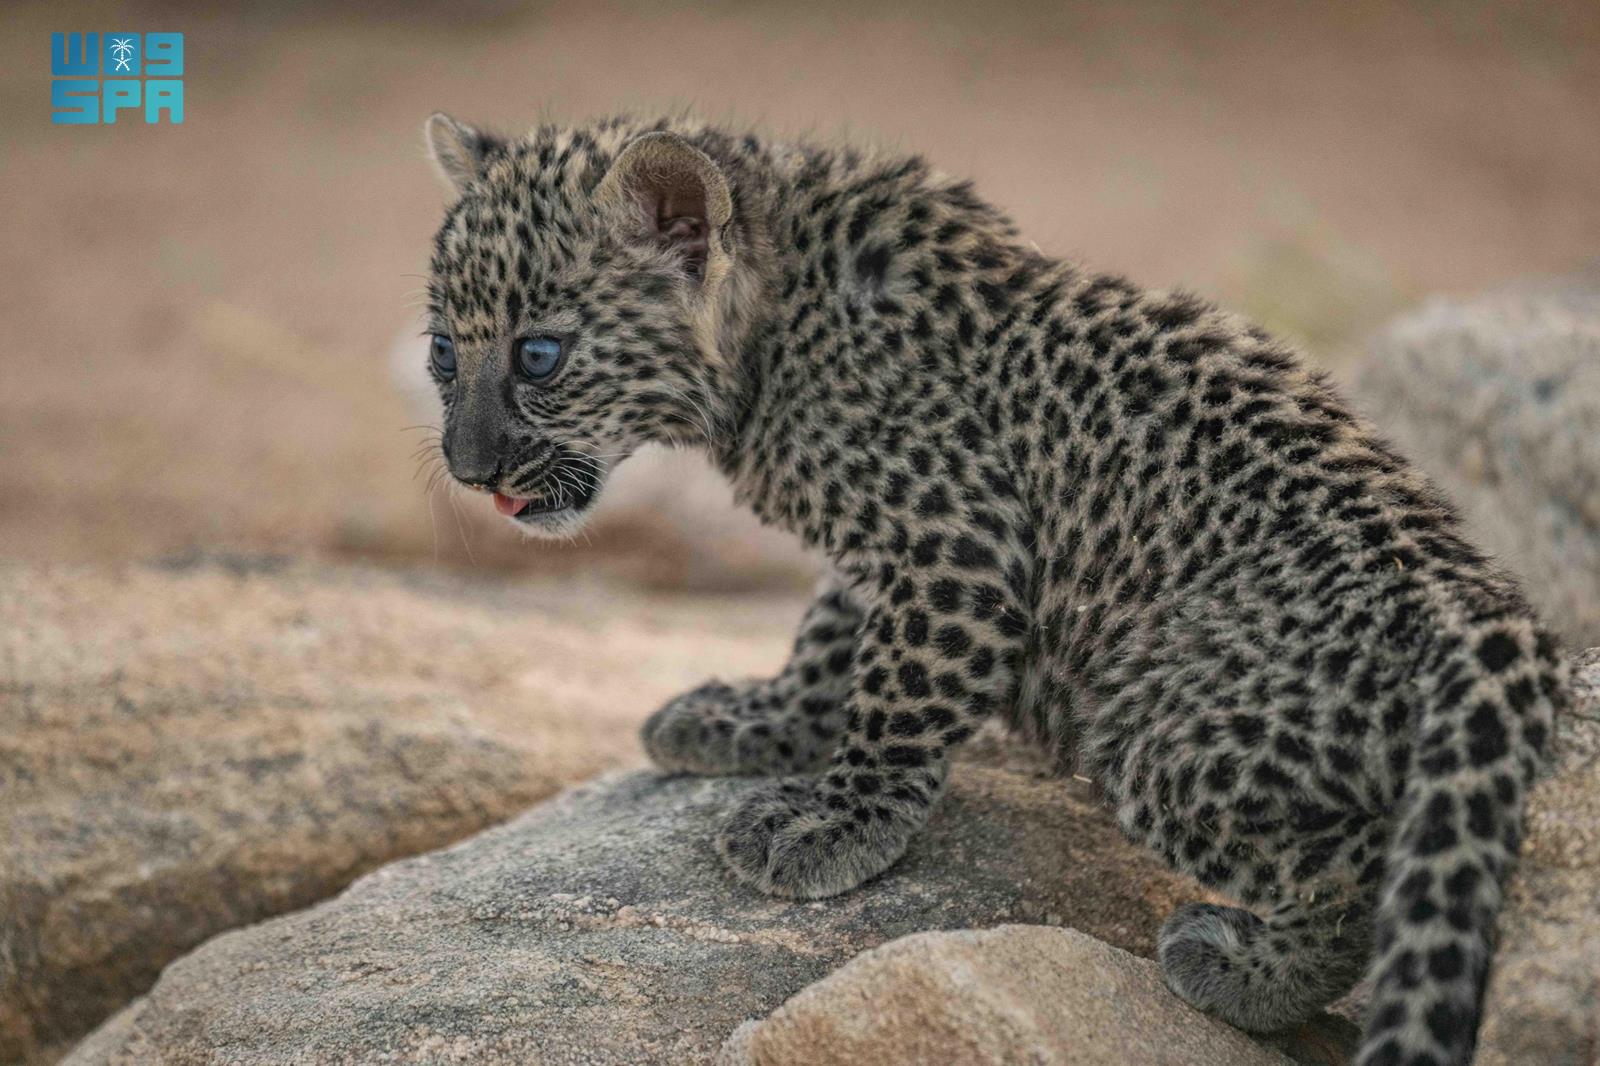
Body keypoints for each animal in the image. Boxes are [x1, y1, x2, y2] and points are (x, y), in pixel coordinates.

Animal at [419, 111, 1569, 1066]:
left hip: (1164, 735)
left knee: (1366, 868)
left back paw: (1243, 972)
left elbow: (896, 695)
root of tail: (1476, 604)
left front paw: (828, 822)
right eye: (439, 354)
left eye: (540, 354)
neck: (776, 334)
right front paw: (755, 718)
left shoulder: (955, 542)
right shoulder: (886, 547)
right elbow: (832, 633)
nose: (468, 472)